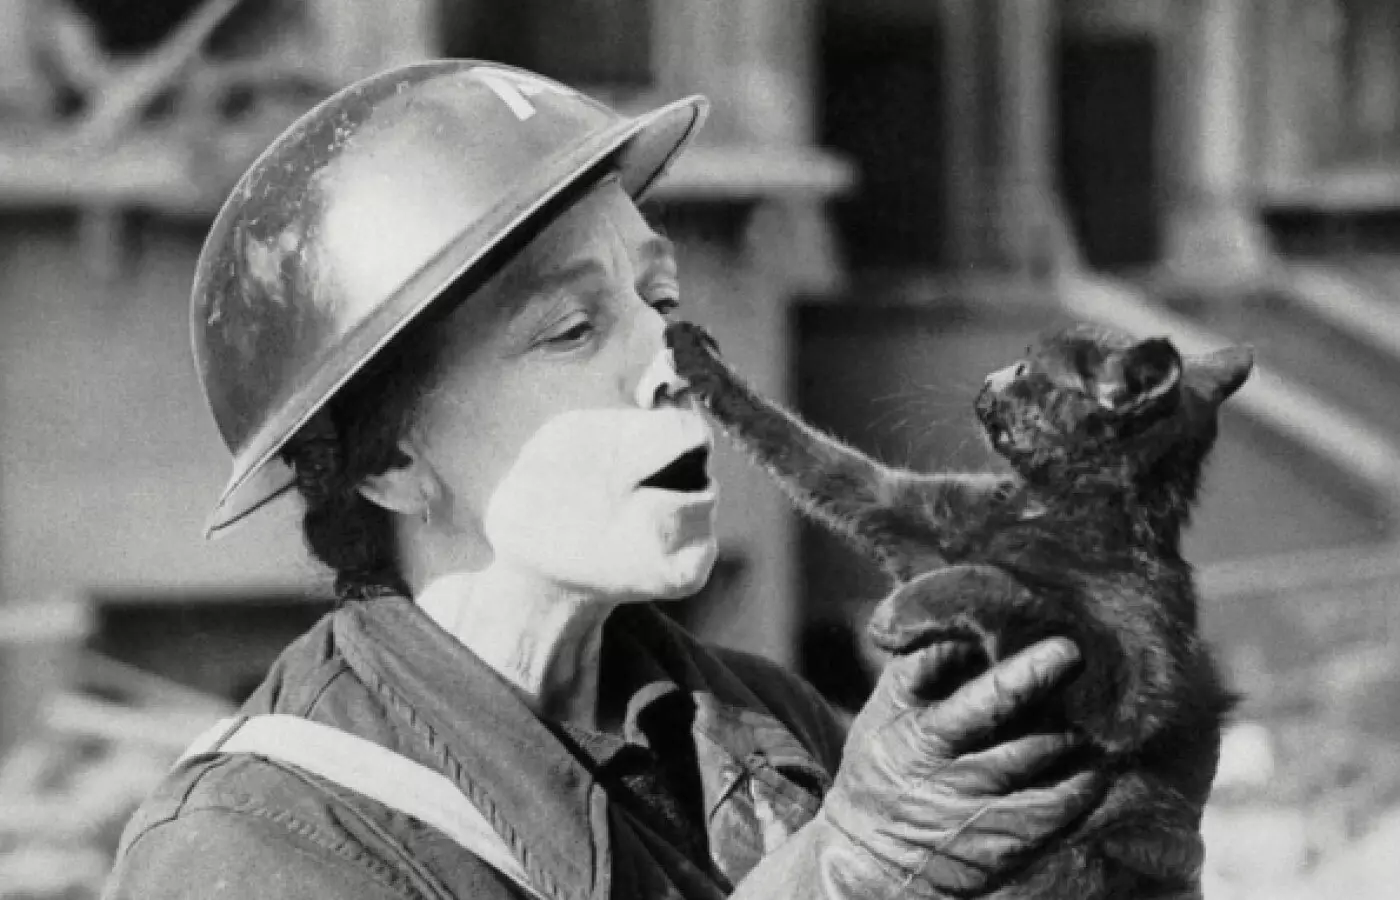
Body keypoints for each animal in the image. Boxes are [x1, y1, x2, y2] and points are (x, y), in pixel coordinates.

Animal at [660, 320, 1254, 900]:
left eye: (1026, 370)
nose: (989, 378)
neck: (1048, 508)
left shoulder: (1135, 690)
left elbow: (1006, 583)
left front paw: (902, 610)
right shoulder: (912, 513)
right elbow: (814, 453)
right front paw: (695, 353)